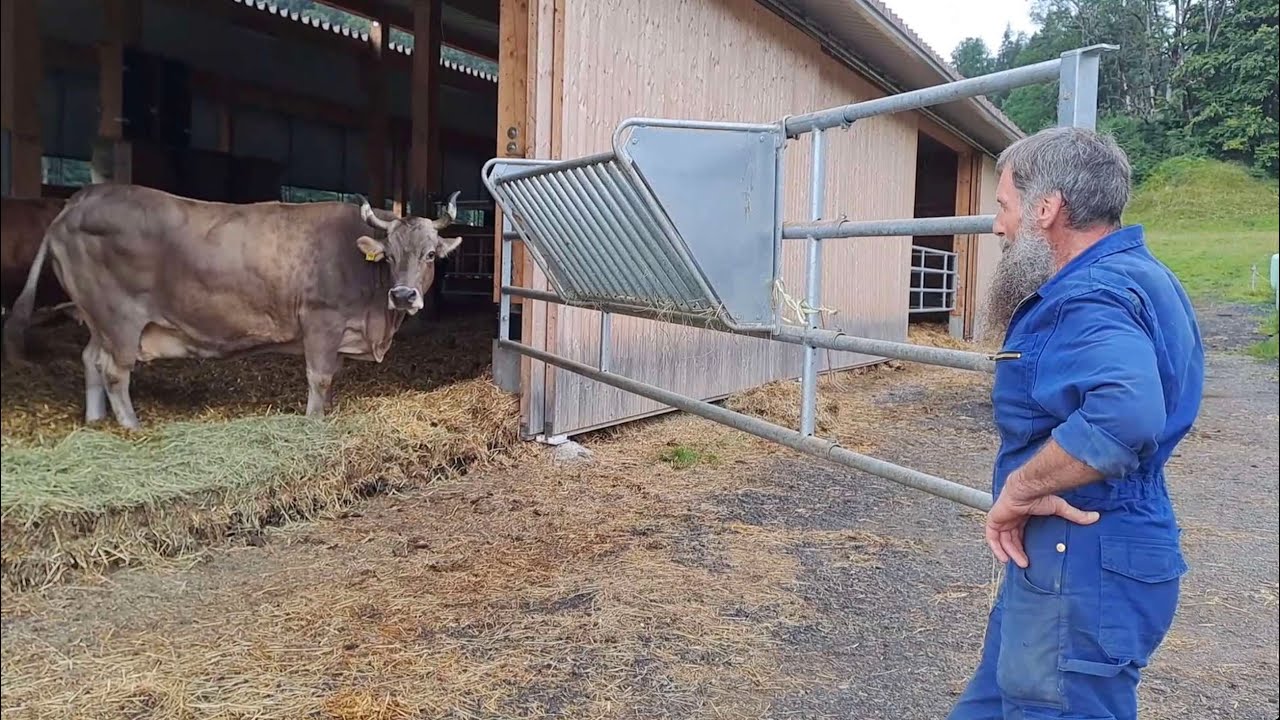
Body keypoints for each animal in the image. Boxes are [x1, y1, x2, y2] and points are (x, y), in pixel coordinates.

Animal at [3, 183, 463, 430]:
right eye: (389, 255)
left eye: (430, 255)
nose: (403, 296)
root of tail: (79, 200)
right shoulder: (321, 322)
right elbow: (320, 379)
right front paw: (314, 421)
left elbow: (332, 380)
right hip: (119, 320)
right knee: (114, 371)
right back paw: (132, 427)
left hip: (99, 319)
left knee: (89, 360)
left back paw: (97, 422)